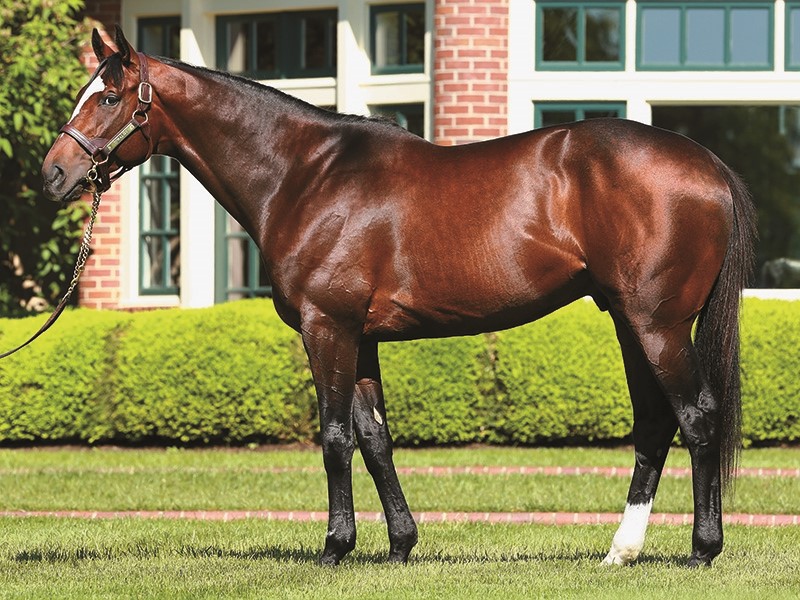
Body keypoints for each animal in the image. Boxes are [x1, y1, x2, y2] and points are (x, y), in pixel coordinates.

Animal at [42, 27, 756, 568]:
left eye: (109, 96)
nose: (54, 173)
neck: (306, 176)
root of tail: (709, 165)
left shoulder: (326, 328)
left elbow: (334, 436)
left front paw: (334, 548)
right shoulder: (360, 338)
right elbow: (375, 437)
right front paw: (399, 546)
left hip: (658, 324)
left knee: (696, 417)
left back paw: (702, 549)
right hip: (631, 322)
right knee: (656, 424)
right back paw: (620, 552)